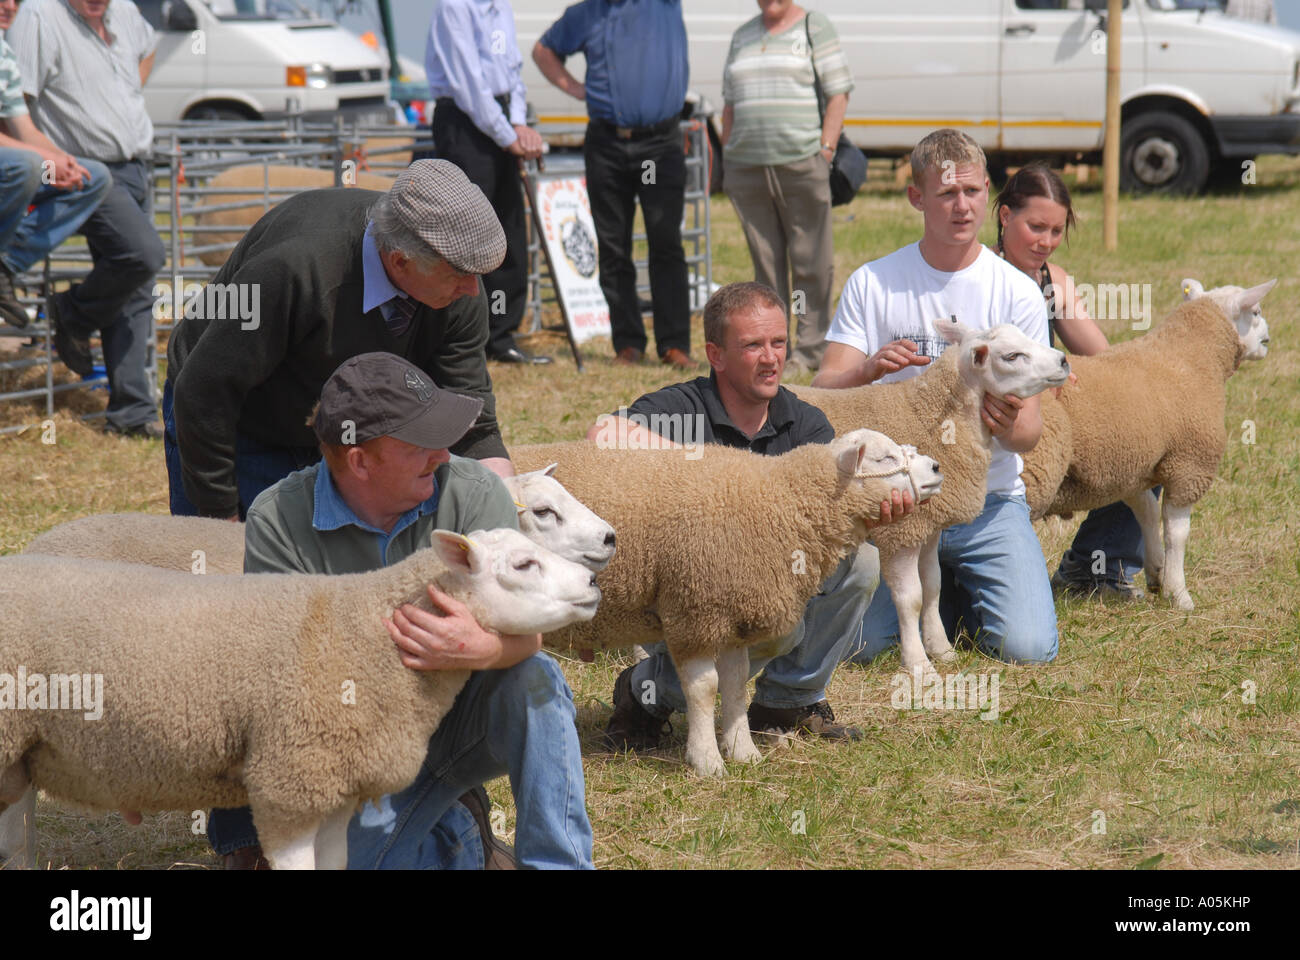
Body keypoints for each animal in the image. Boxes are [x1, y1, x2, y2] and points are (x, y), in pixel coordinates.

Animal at [0, 528, 599, 870]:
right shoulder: (289, 783)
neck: (363, 632)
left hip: (24, 753)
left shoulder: (335, 790)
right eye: (523, 565)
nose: (593, 582)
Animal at [1020, 278, 1276, 610]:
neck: (1194, 356)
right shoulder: (1190, 465)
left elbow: (1148, 513)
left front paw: (1157, 573)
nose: (1268, 336)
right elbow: (1177, 533)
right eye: (1255, 312)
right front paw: (1180, 594)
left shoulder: (1132, 467)